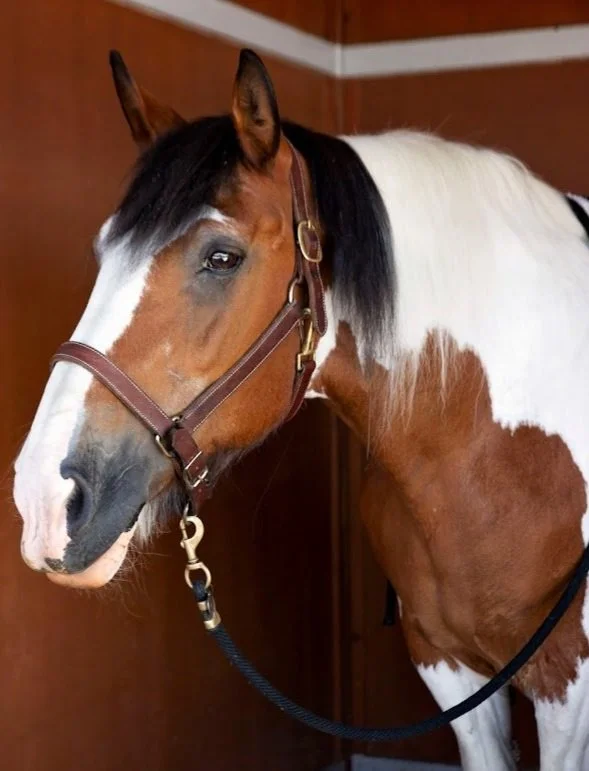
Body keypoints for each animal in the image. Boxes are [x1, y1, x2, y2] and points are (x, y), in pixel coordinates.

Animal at [12, 47, 589, 770]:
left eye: (222, 256)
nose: (43, 499)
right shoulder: (450, 668)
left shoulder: (565, 684)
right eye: (102, 253)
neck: (493, 448)